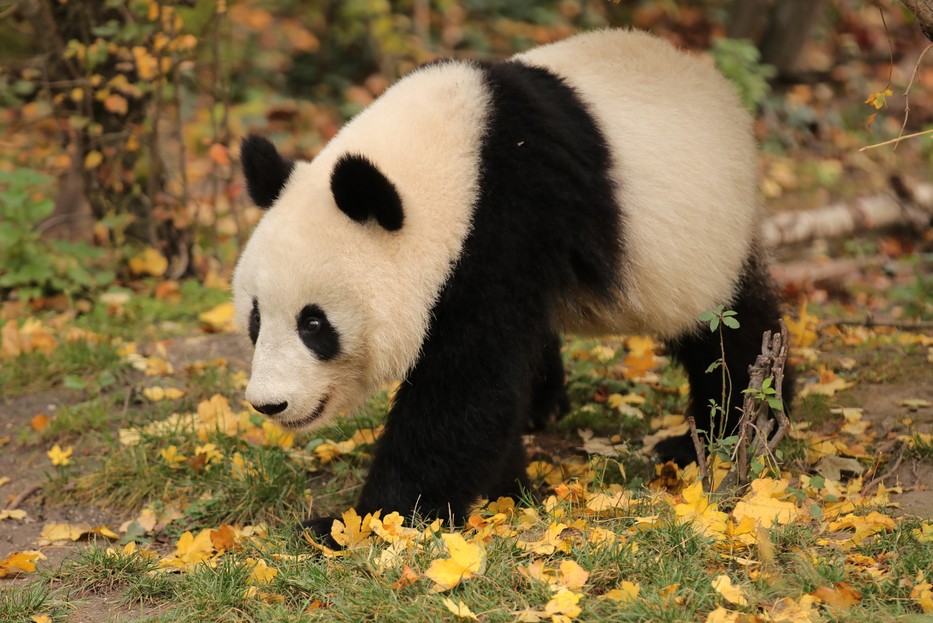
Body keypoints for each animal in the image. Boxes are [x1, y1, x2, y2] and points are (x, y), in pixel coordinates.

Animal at [232, 29, 793, 534]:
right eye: (256, 319)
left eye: (313, 324)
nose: (269, 403)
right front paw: (508, 484)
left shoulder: (506, 222)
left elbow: (467, 385)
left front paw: (361, 521)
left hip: (701, 244)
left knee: (729, 333)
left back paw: (734, 428)